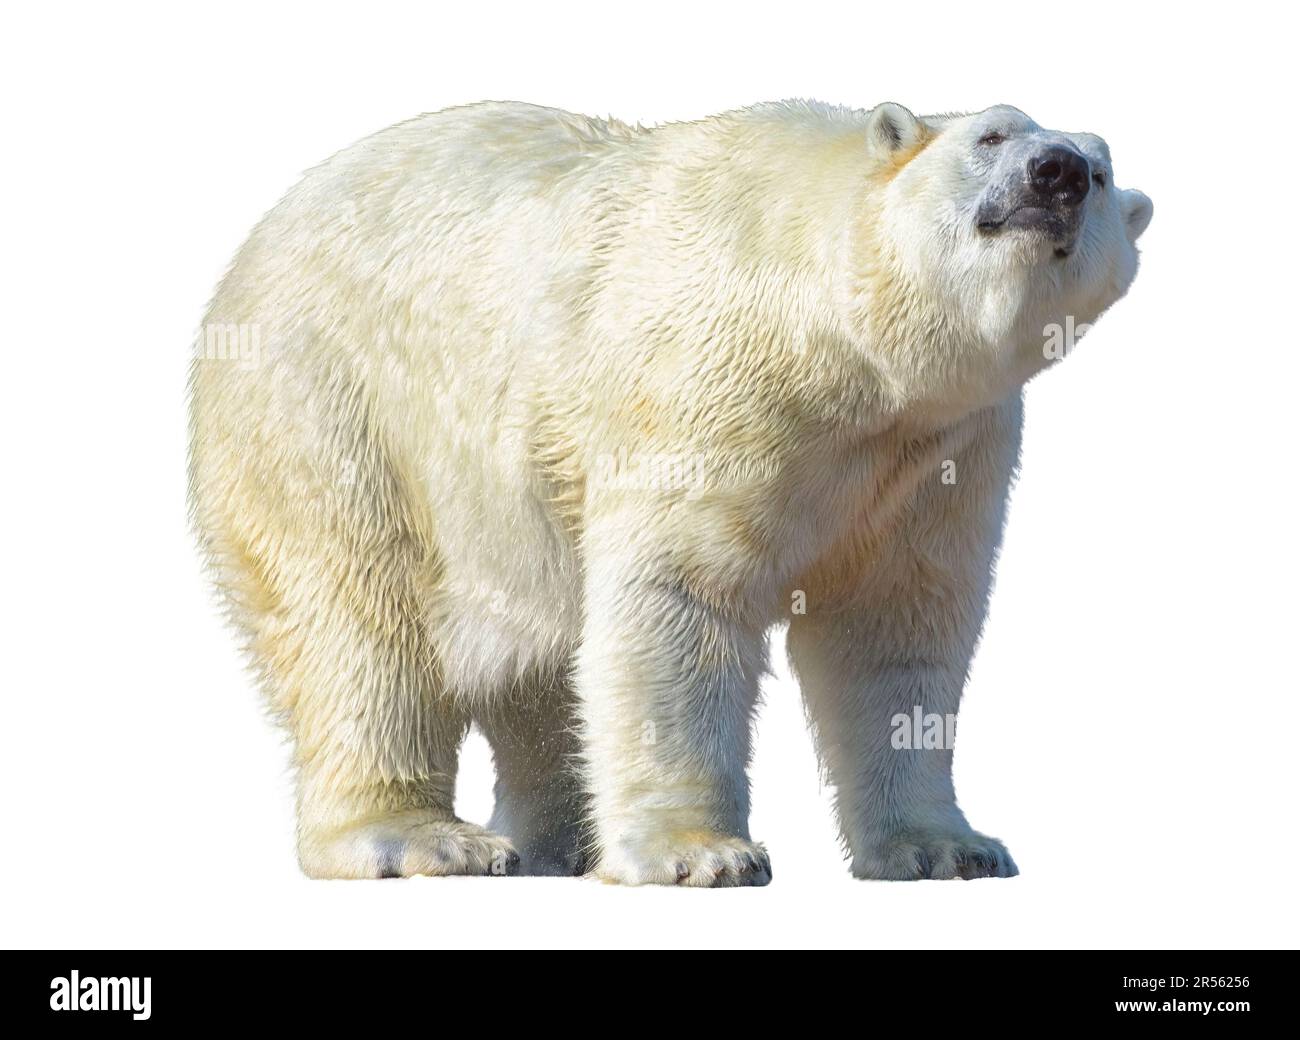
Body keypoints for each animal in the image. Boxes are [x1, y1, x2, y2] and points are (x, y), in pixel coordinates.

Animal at [188, 100, 1151, 886]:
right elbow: (680, 598)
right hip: (332, 411)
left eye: (1103, 173)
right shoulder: (713, 387)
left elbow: (895, 631)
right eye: (990, 134)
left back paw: (557, 844)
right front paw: (703, 855)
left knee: (539, 661)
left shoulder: (940, 451)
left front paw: (946, 848)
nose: (1058, 172)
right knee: (360, 624)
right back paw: (424, 838)